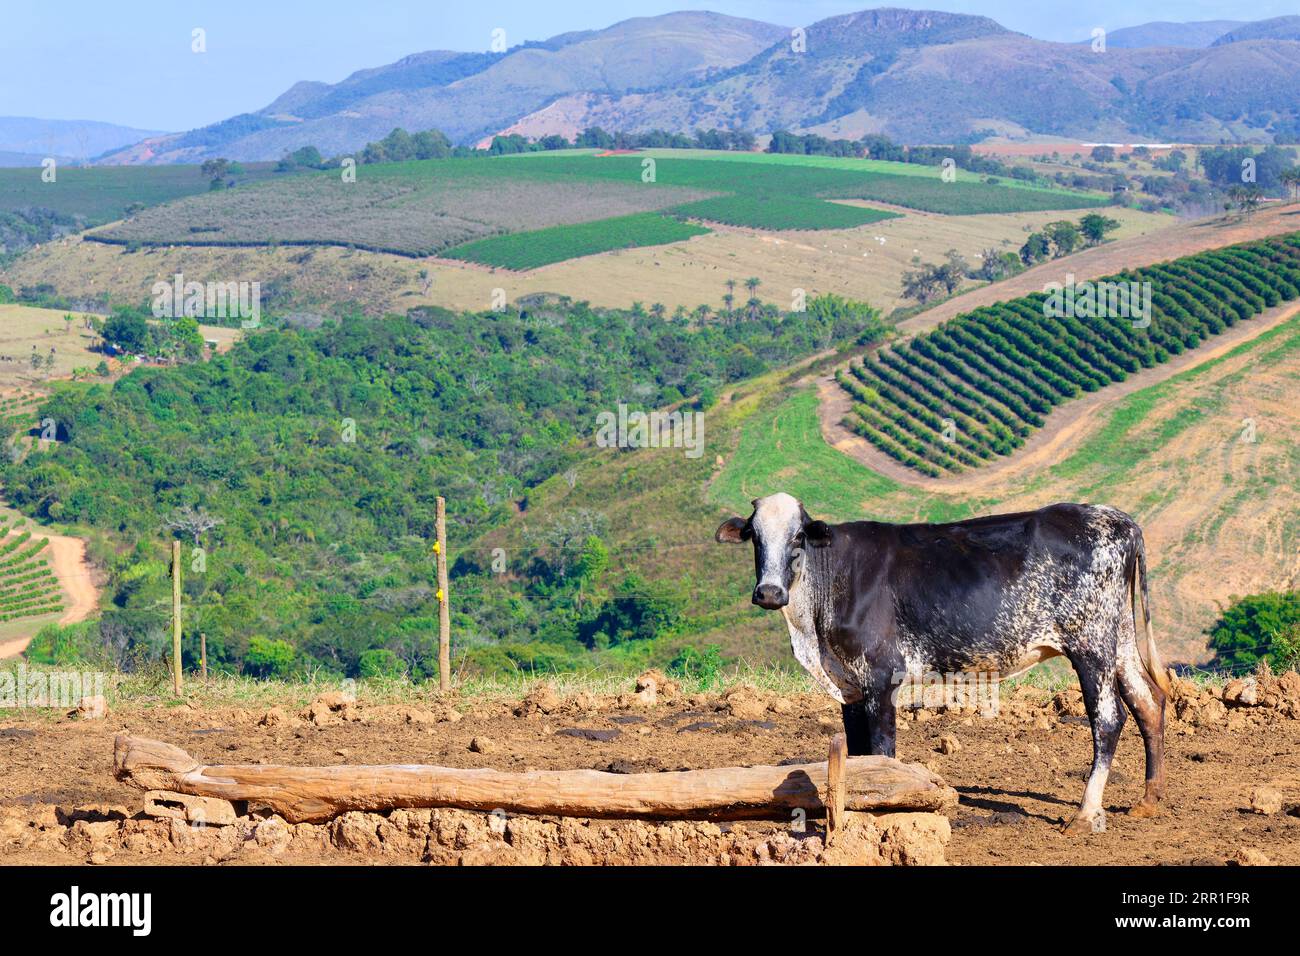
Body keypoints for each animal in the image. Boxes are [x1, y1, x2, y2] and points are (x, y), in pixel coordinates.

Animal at [716, 492, 1172, 835]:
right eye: (754, 537)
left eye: (797, 537)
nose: (769, 592)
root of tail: (1115, 518)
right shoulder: (849, 685)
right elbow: (859, 753)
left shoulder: (881, 676)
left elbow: (882, 750)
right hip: (1119, 637)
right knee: (1148, 702)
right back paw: (1149, 800)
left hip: (1090, 643)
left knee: (1109, 718)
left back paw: (1085, 813)